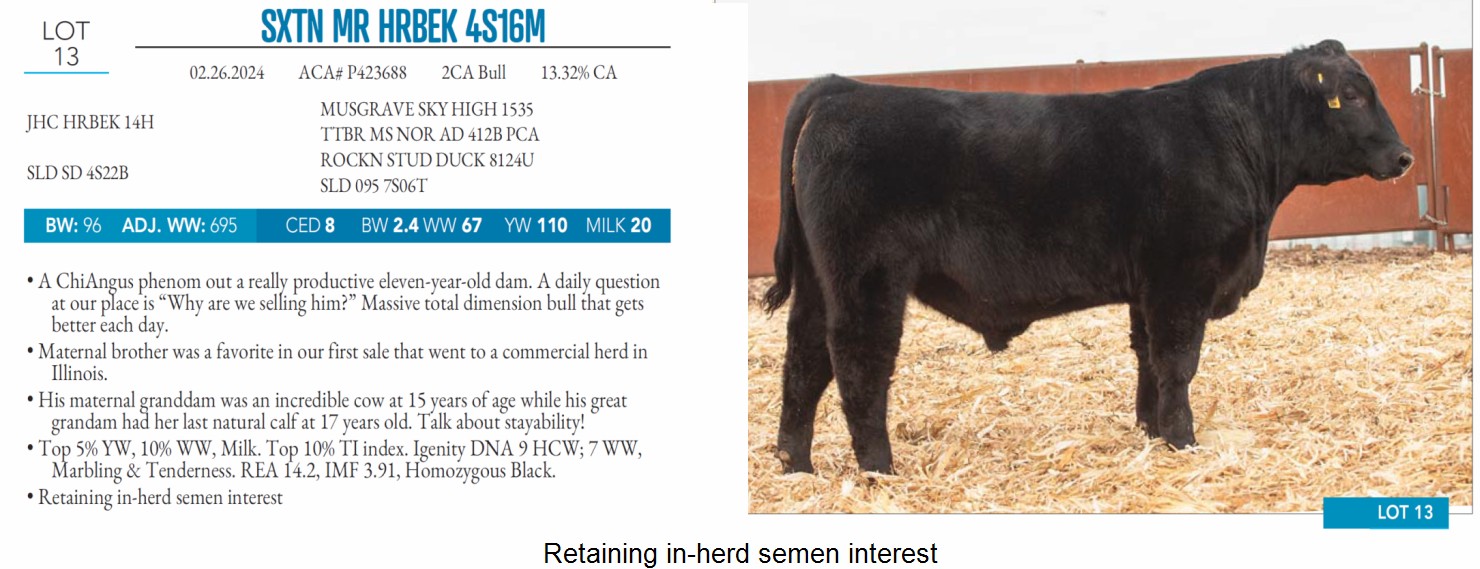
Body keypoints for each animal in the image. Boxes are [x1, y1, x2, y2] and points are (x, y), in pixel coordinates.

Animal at [762, 40, 1413, 474]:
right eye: (1351, 95)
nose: (1405, 156)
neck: (1236, 140)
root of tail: (847, 87)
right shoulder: (1181, 278)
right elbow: (1178, 361)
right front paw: (1183, 441)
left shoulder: (1149, 287)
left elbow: (1147, 357)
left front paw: (1152, 432)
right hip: (866, 276)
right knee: (858, 361)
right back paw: (878, 468)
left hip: (820, 281)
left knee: (803, 361)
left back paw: (795, 464)